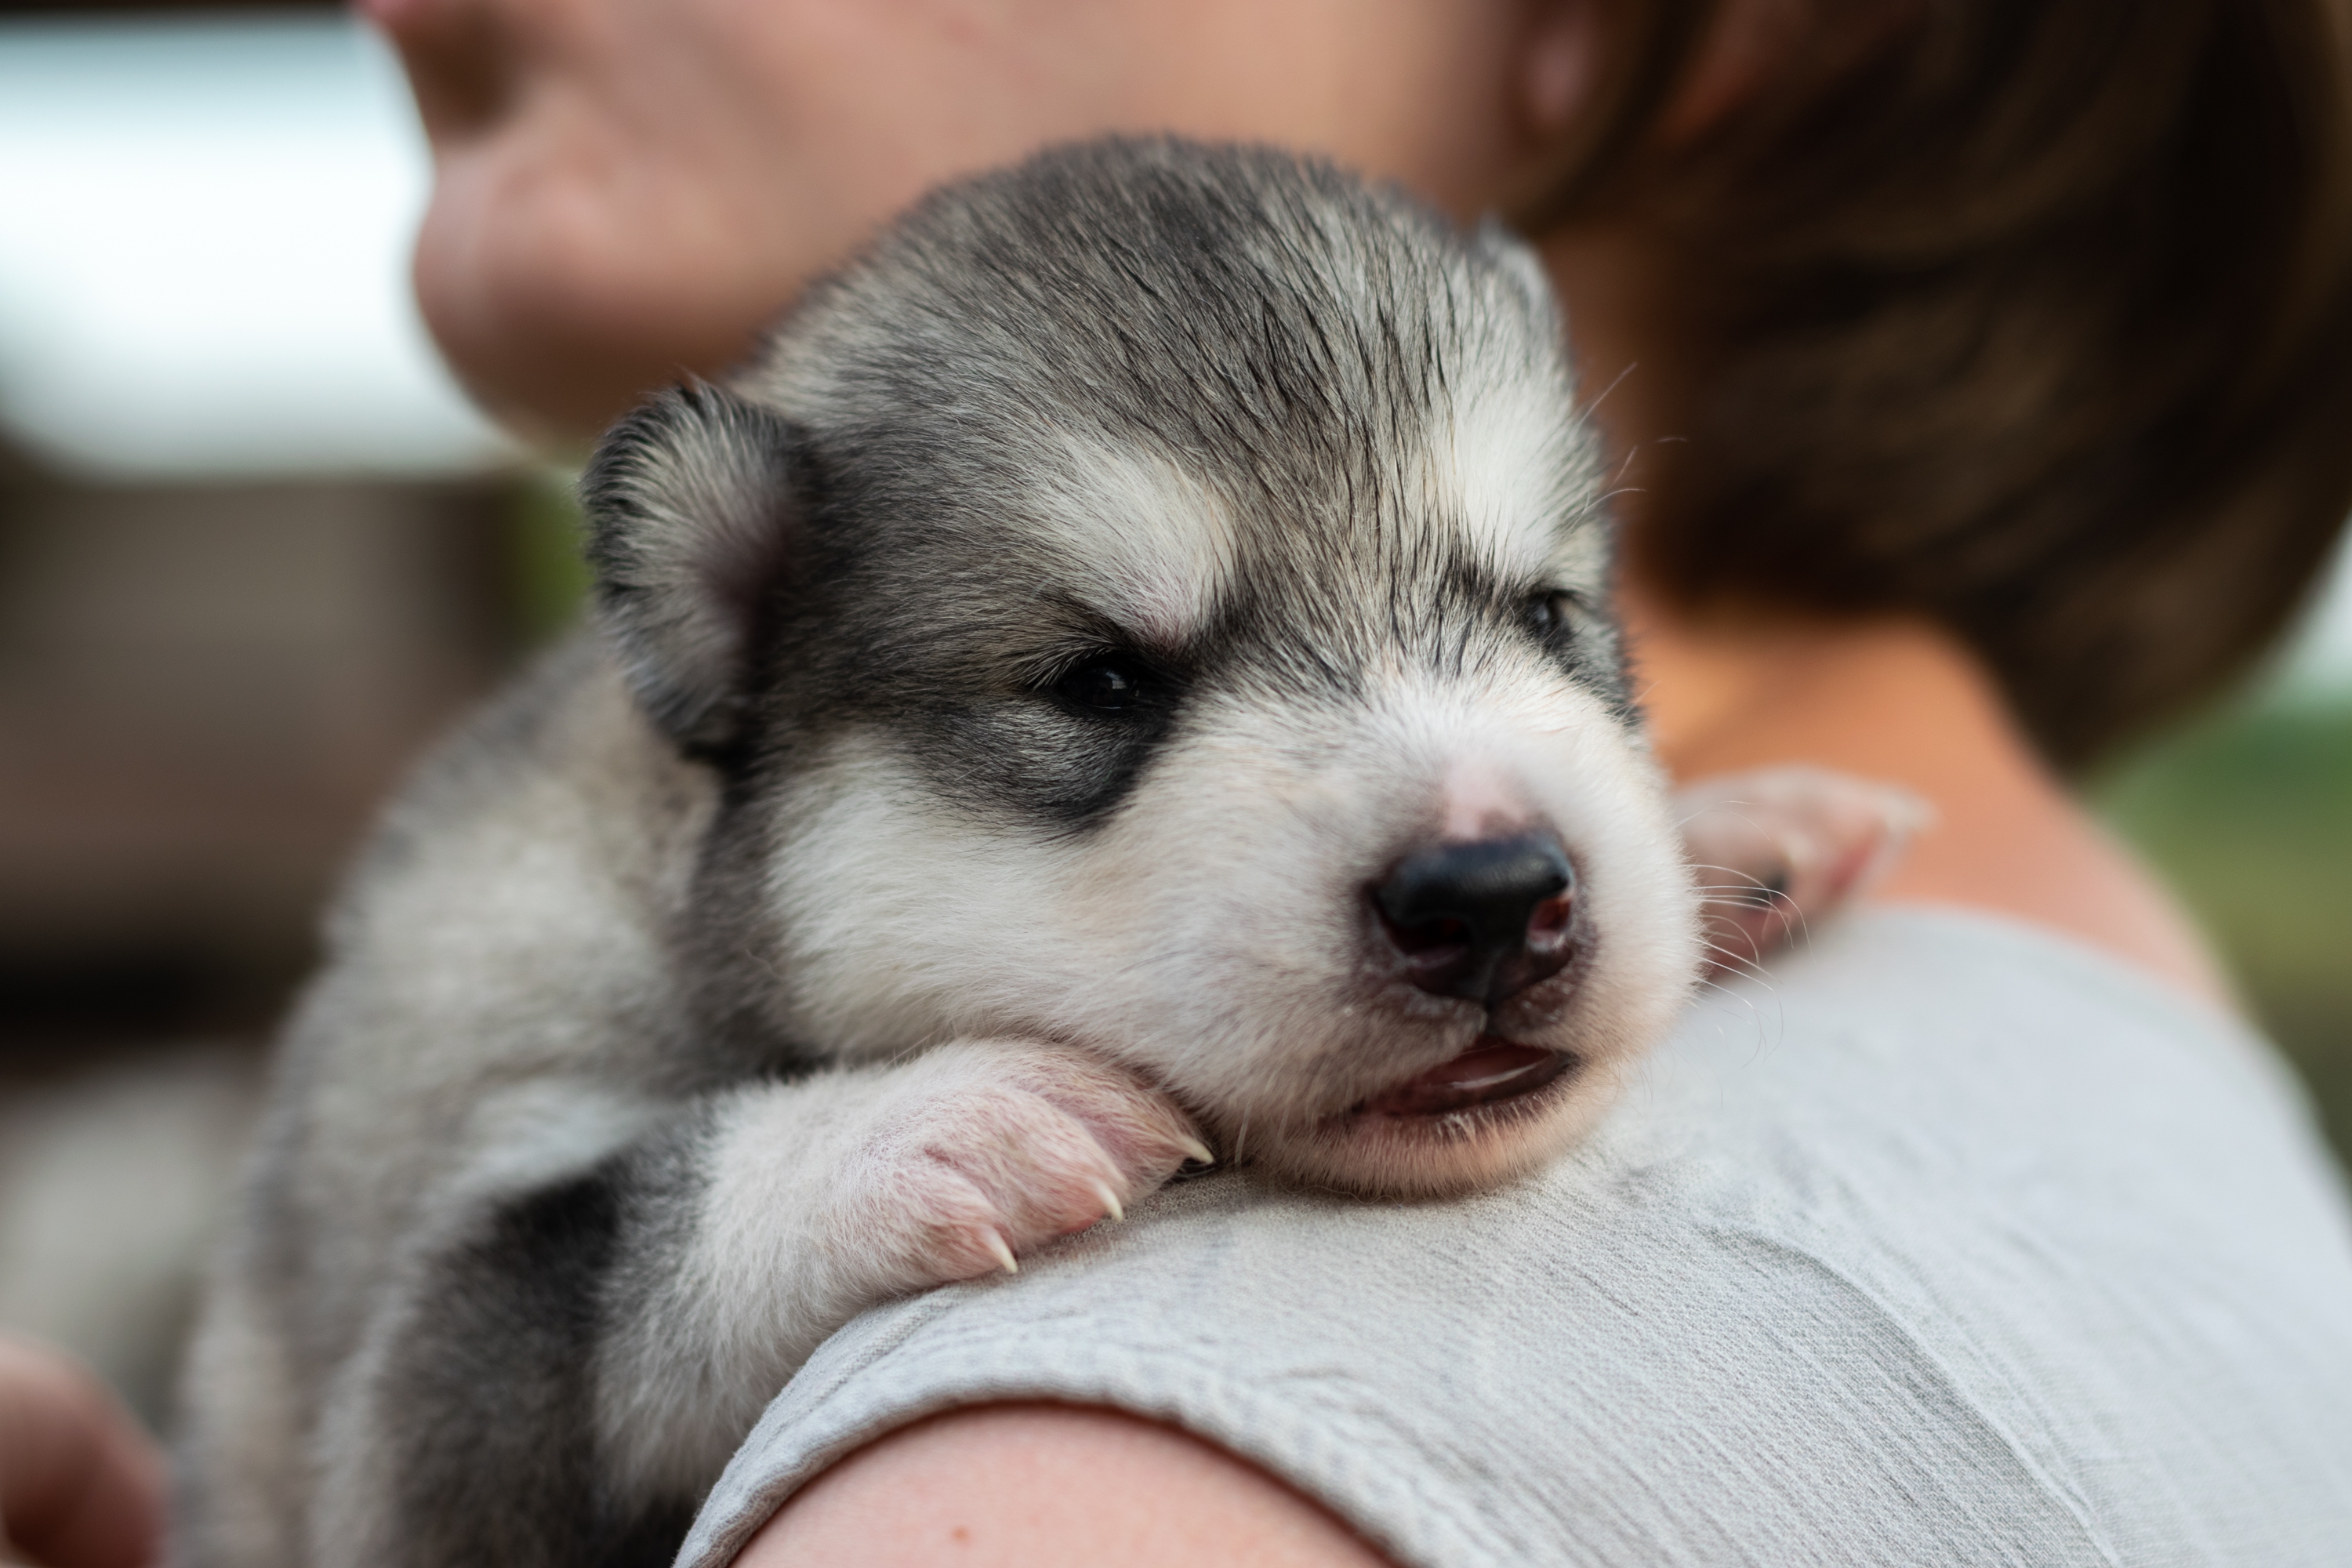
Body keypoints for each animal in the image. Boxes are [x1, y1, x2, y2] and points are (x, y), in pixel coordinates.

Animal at [179, 138, 1891, 1568]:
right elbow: (601, 1244)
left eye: (1545, 613)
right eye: (1102, 683)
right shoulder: (406, 1402)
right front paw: (927, 1124)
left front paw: (1742, 825)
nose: (1490, 895)